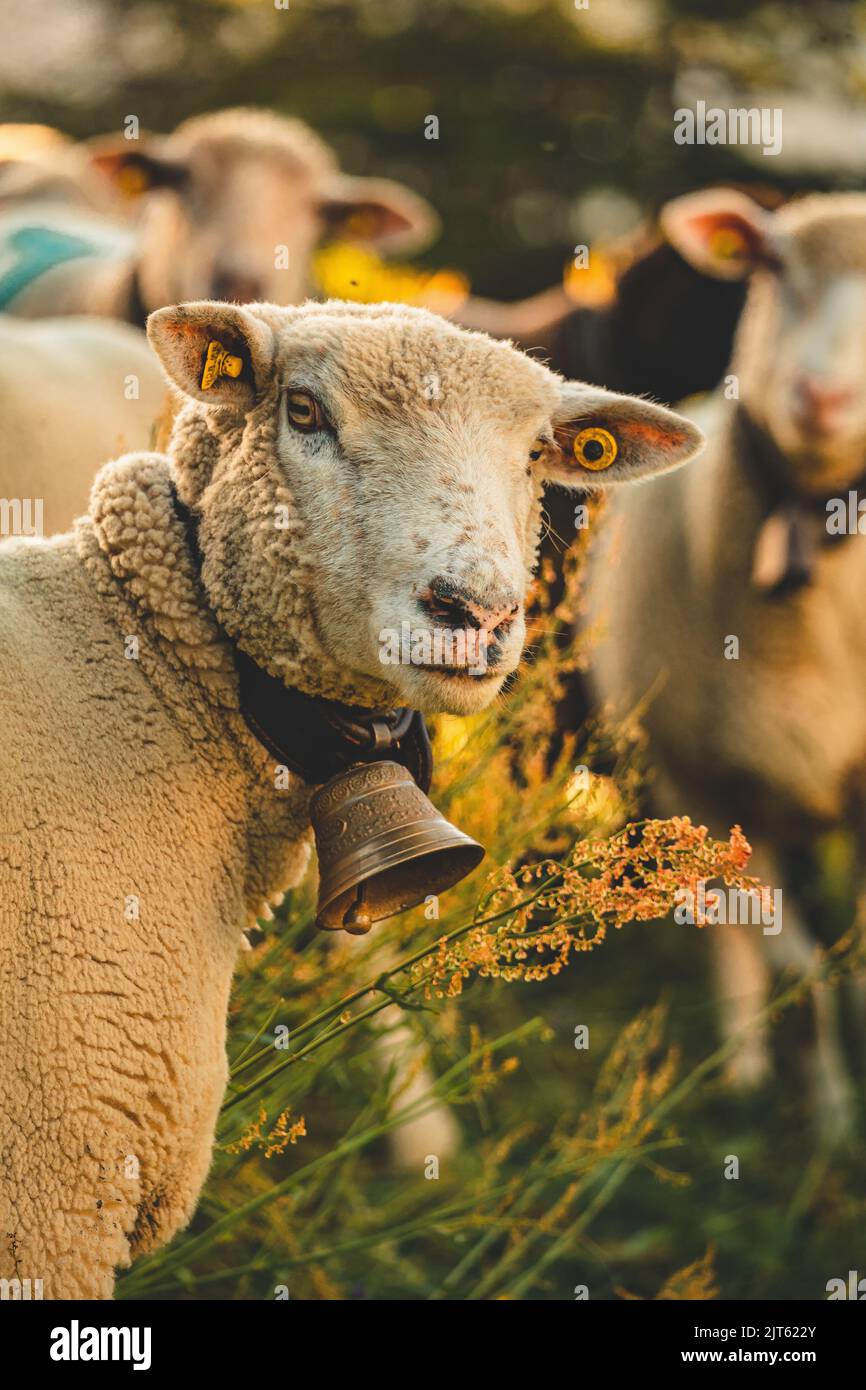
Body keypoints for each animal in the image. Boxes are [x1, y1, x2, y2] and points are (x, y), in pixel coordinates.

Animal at [584, 189, 866, 1137]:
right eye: (774, 267)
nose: (824, 395)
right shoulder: (708, 787)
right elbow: (796, 972)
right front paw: (831, 1126)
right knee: (735, 940)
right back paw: (741, 1070)